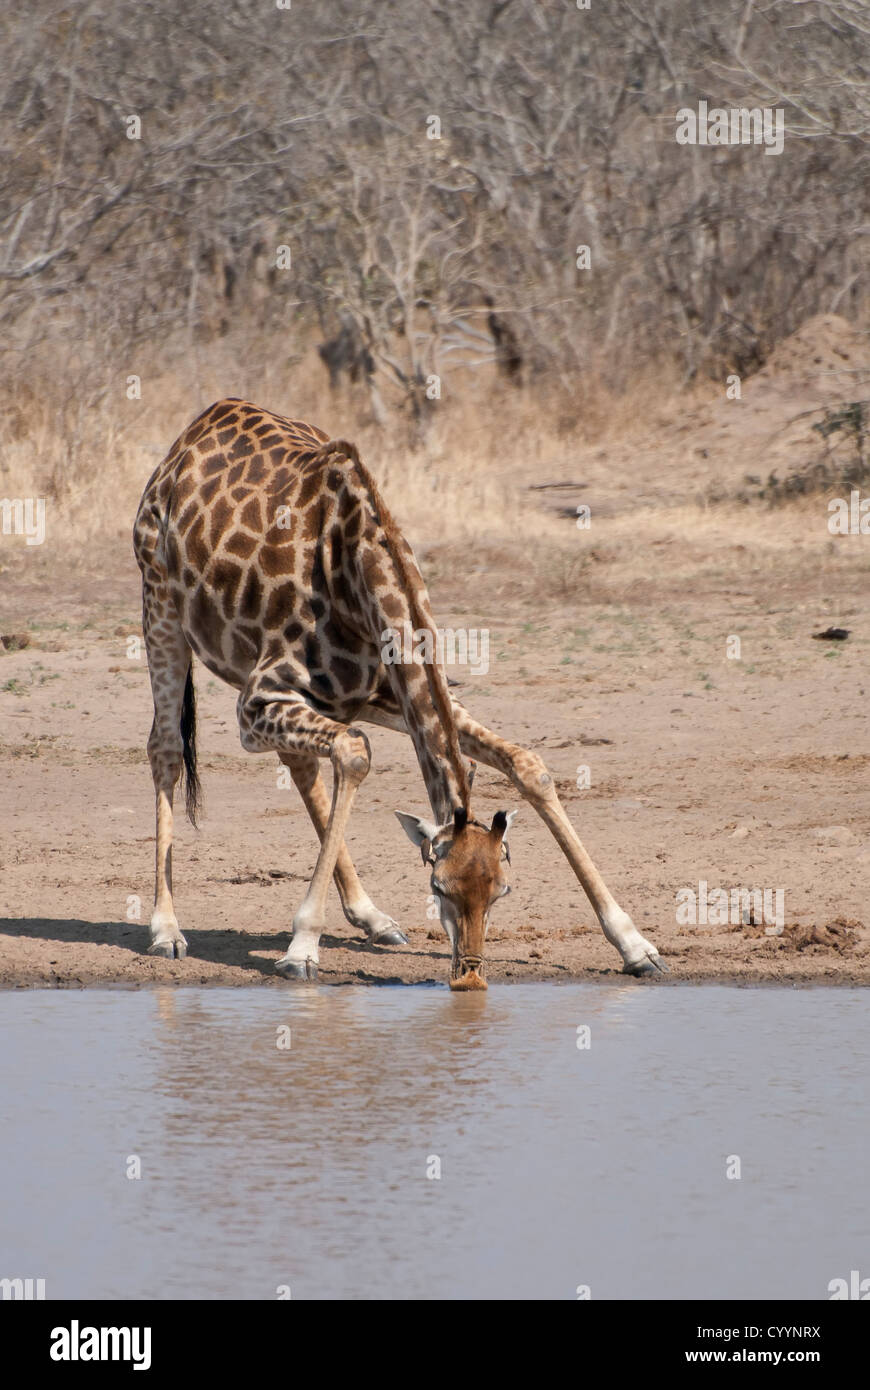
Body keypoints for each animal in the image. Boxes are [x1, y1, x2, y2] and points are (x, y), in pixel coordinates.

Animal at [133, 398, 666, 989]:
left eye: (502, 891)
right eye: (438, 889)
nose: (469, 977)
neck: (355, 572)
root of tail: (192, 433)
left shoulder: (397, 699)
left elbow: (528, 764)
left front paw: (635, 944)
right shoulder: (256, 703)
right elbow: (355, 752)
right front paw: (301, 947)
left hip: (339, 702)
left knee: (301, 765)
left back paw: (374, 919)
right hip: (161, 606)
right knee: (166, 749)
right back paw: (166, 930)